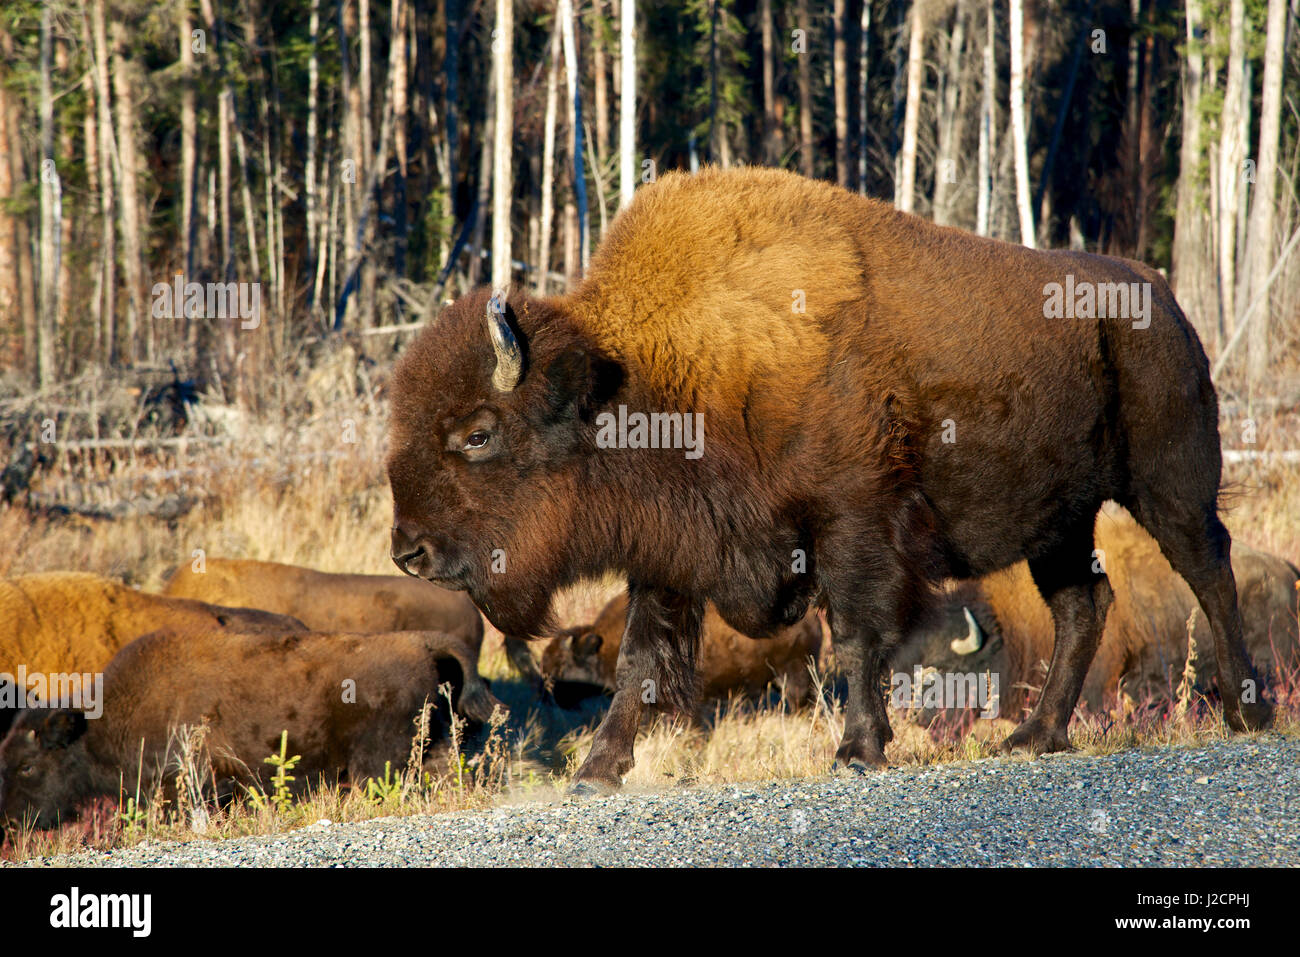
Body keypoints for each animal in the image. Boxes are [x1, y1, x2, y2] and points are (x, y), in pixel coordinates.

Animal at [386, 166, 1271, 792]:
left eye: (477, 432)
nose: (408, 551)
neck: (633, 376)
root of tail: (1160, 297)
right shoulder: (672, 552)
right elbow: (640, 659)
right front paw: (595, 774)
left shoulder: (852, 524)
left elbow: (854, 638)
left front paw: (857, 748)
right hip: (1060, 519)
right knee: (1084, 603)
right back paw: (1032, 735)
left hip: (1168, 483)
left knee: (1208, 568)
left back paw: (1245, 708)